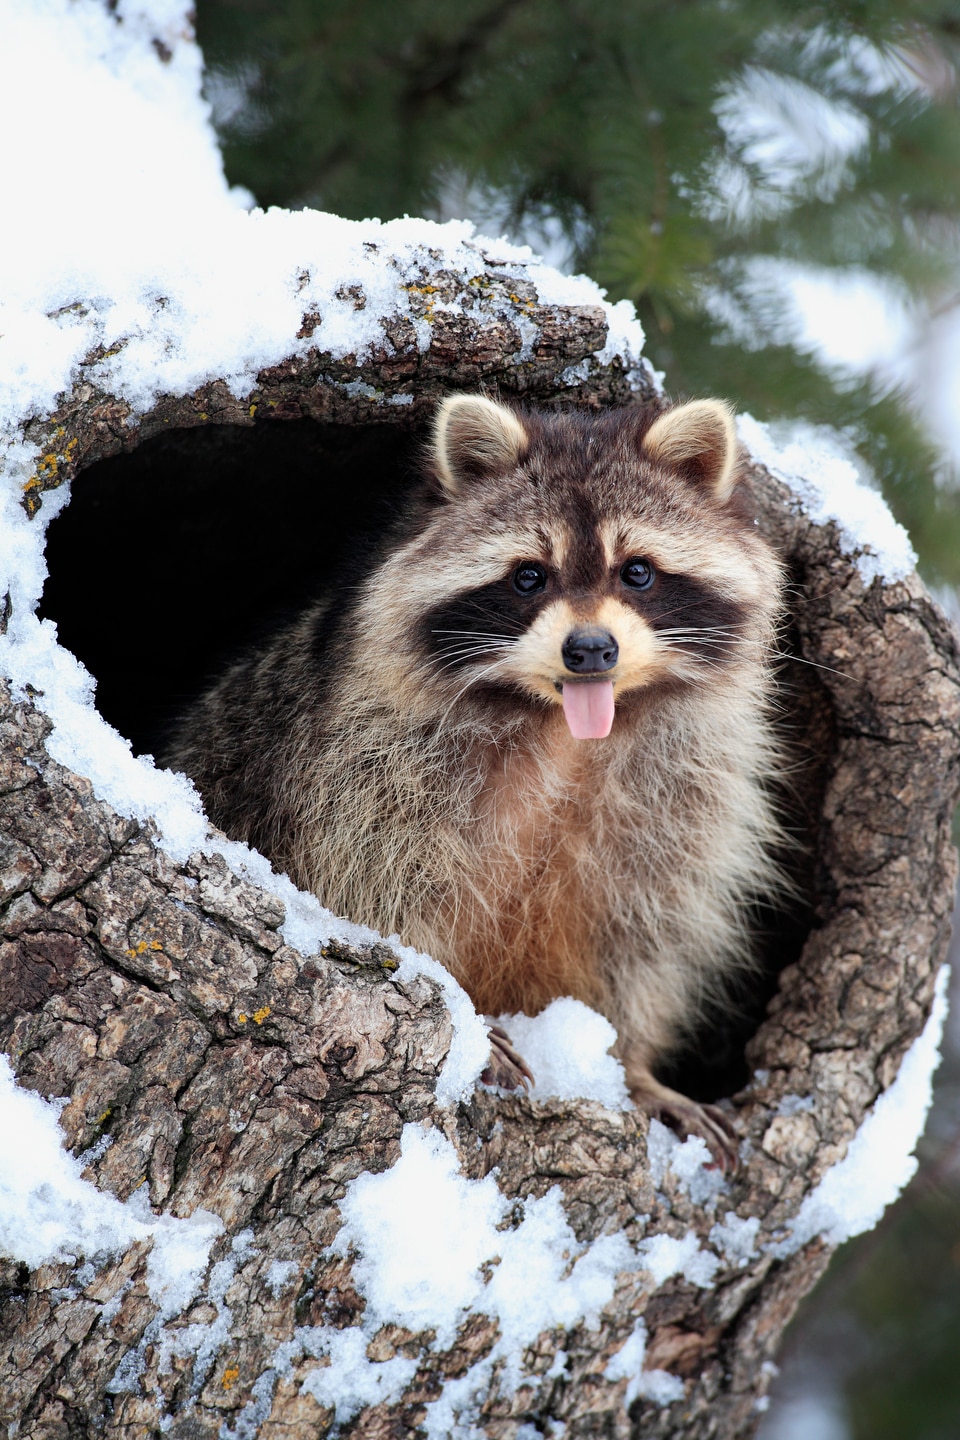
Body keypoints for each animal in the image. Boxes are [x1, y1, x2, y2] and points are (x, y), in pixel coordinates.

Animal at [167, 395, 785, 1167]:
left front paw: (629, 1062)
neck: (565, 730)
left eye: (637, 572)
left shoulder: (683, 790)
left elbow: (643, 931)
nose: (590, 649)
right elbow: (373, 897)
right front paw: (457, 1014)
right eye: (530, 576)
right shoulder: (358, 769)